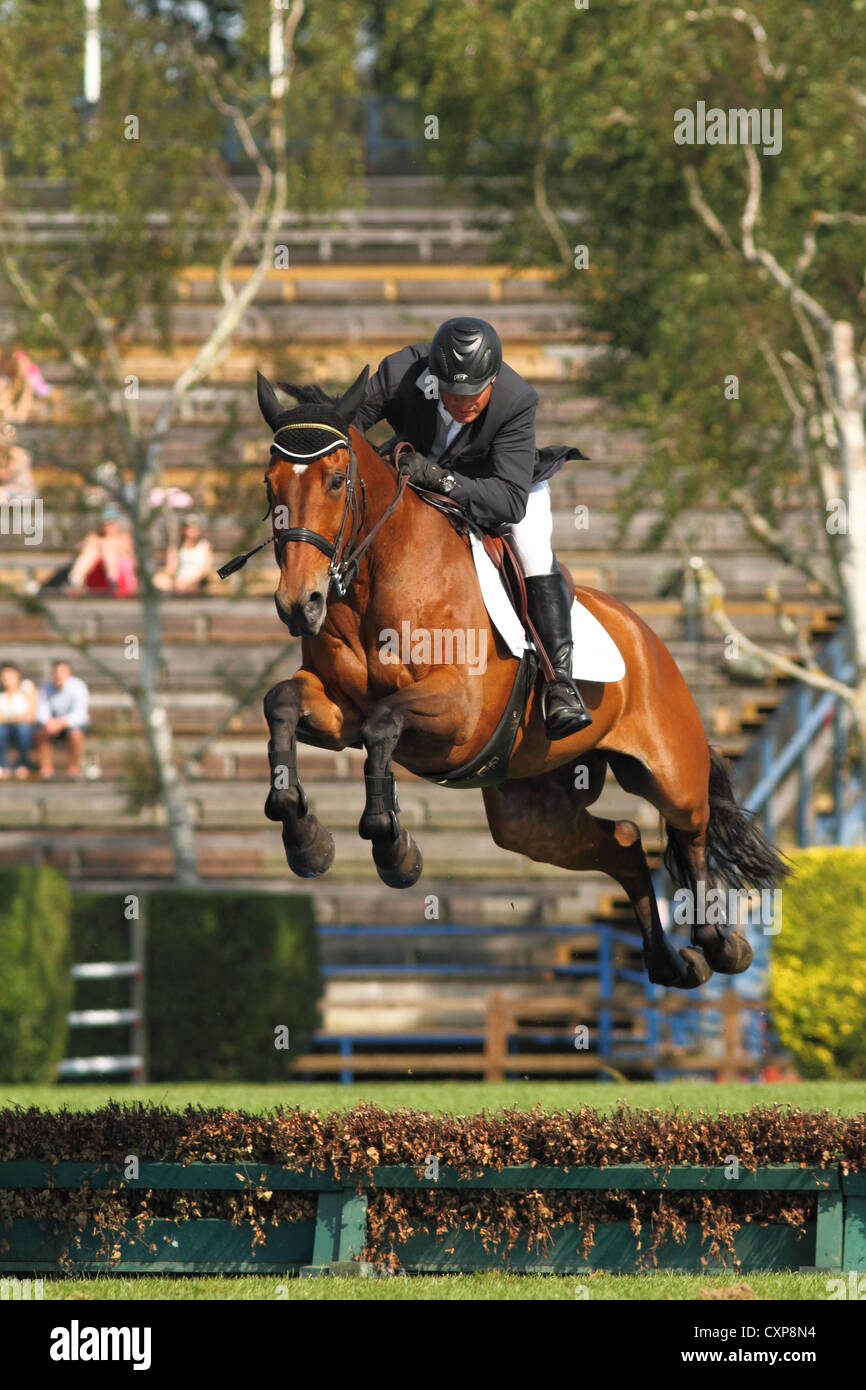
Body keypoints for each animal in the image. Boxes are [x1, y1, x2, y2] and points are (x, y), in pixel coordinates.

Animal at [244, 367, 788, 991]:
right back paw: (672, 962)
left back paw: (720, 945)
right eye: (270, 486)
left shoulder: (456, 713)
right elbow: (282, 704)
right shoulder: (338, 712)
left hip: (669, 769)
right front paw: (306, 840)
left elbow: (383, 725)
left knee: (691, 831)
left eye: (336, 481)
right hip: (531, 812)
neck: (373, 578)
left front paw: (394, 849)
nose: (298, 605)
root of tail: (646, 634)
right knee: (625, 844)